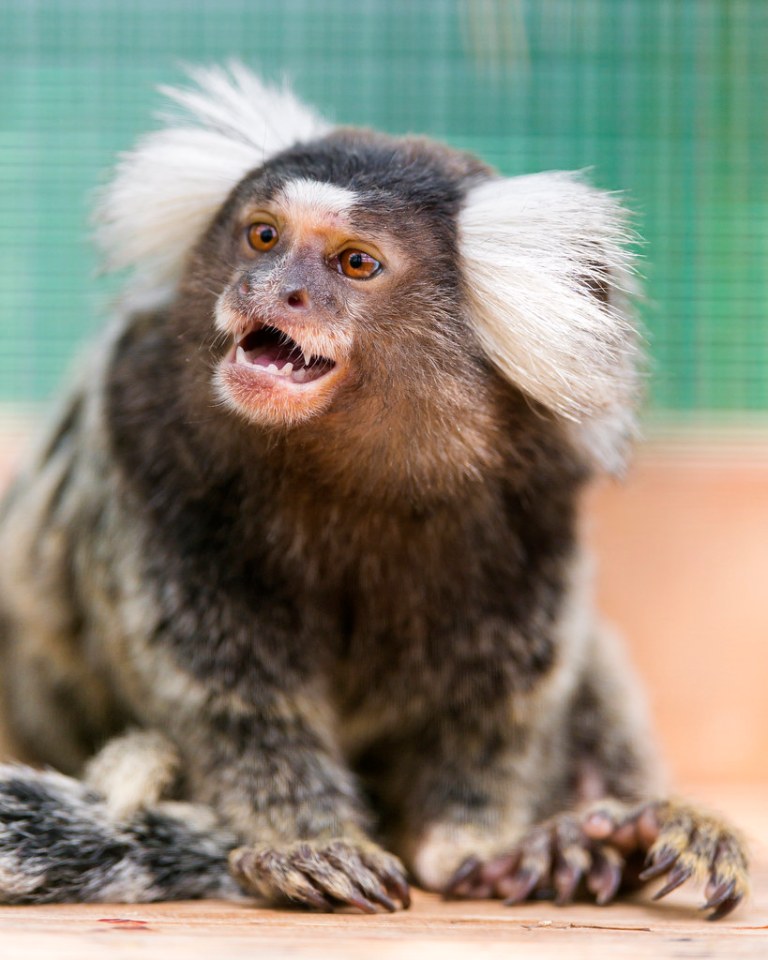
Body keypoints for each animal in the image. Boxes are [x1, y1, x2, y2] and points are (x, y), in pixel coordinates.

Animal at [0, 64, 748, 918]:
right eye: (263, 236)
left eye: (355, 263)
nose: (273, 289)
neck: (343, 466)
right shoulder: (140, 424)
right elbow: (223, 691)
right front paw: (308, 841)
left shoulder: (537, 487)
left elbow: (503, 697)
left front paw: (480, 847)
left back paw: (616, 827)